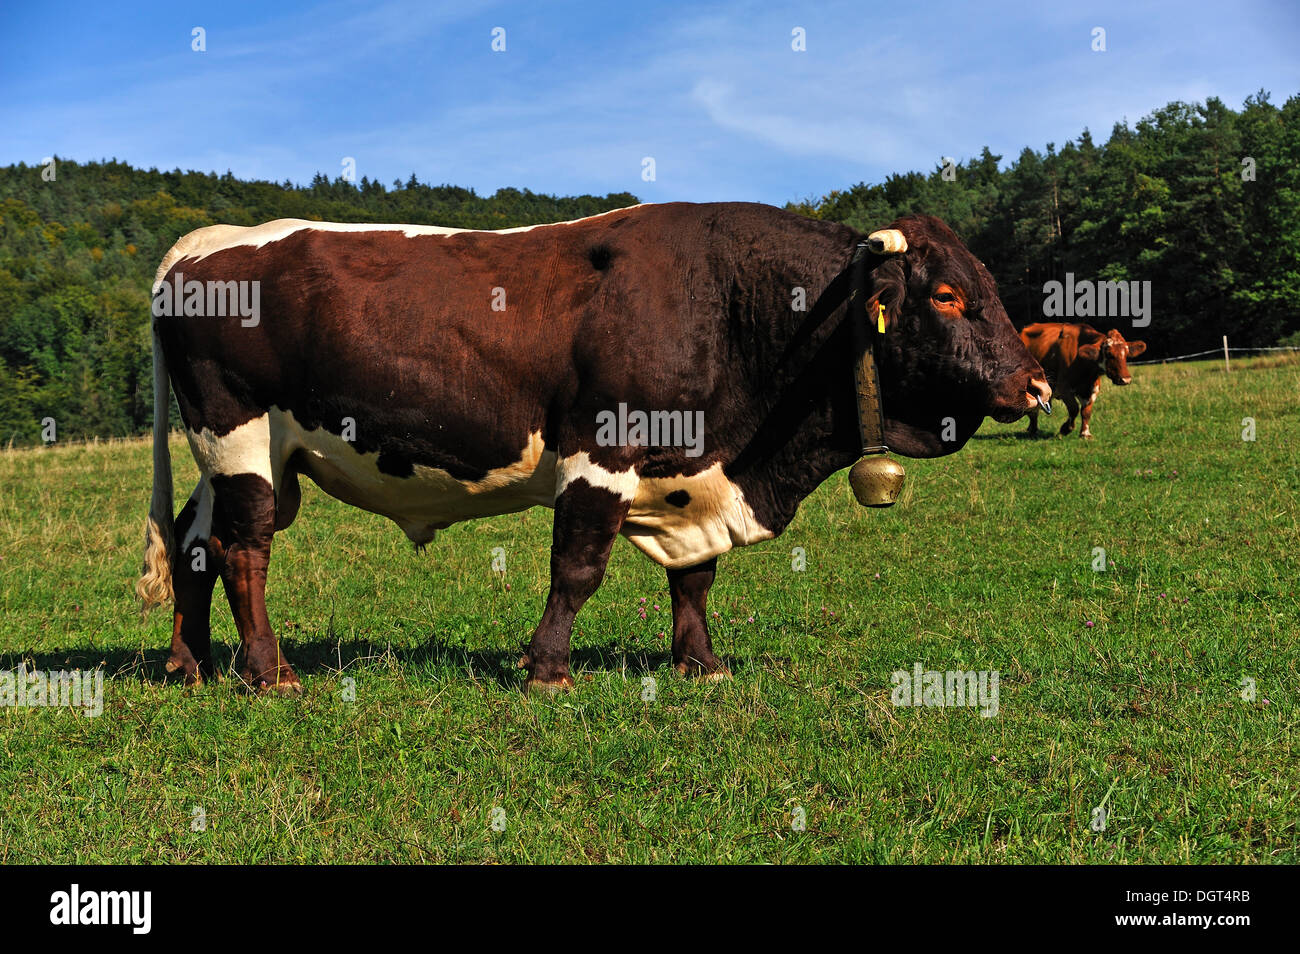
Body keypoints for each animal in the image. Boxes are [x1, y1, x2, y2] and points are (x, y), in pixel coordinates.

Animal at [136, 203, 1051, 693]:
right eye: (947, 295)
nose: (1037, 385)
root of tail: (203, 241)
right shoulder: (600, 451)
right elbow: (577, 568)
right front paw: (546, 668)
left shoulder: (692, 466)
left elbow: (695, 578)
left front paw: (700, 663)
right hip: (242, 439)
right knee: (243, 551)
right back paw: (269, 671)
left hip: (243, 459)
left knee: (194, 544)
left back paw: (191, 662)